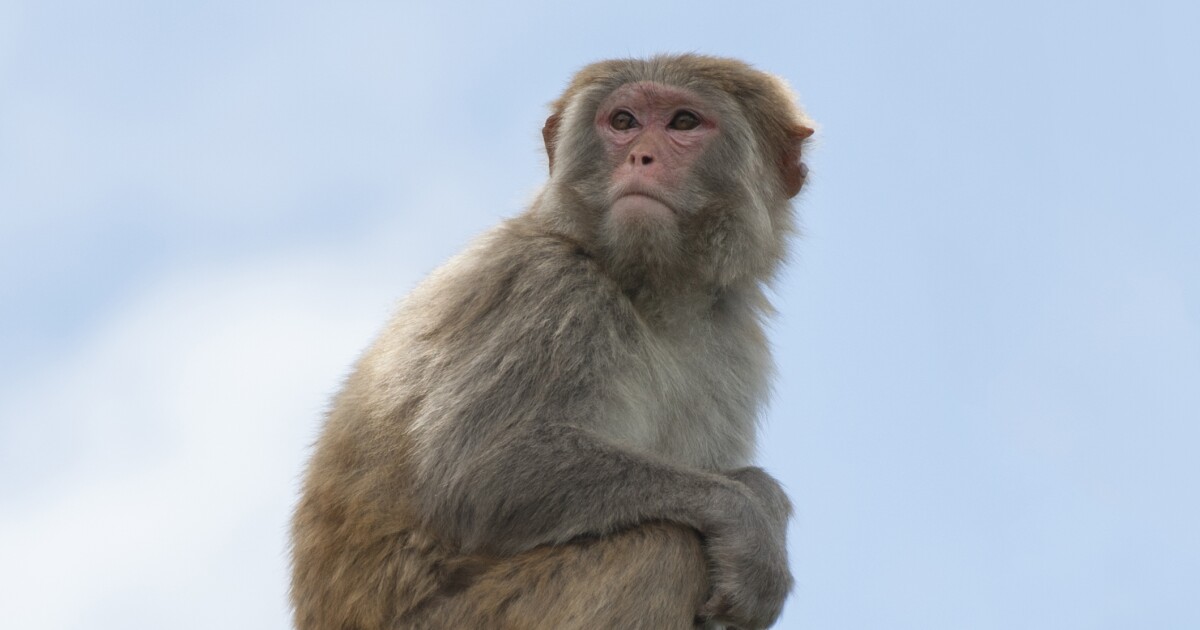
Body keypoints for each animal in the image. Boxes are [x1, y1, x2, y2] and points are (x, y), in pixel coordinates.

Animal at [290, 54, 815, 630]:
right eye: (624, 121)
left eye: (684, 122)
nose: (641, 156)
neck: (647, 289)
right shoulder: (551, 289)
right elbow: (482, 471)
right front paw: (742, 513)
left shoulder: (732, 341)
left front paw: (762, 499)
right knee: (663, 550)